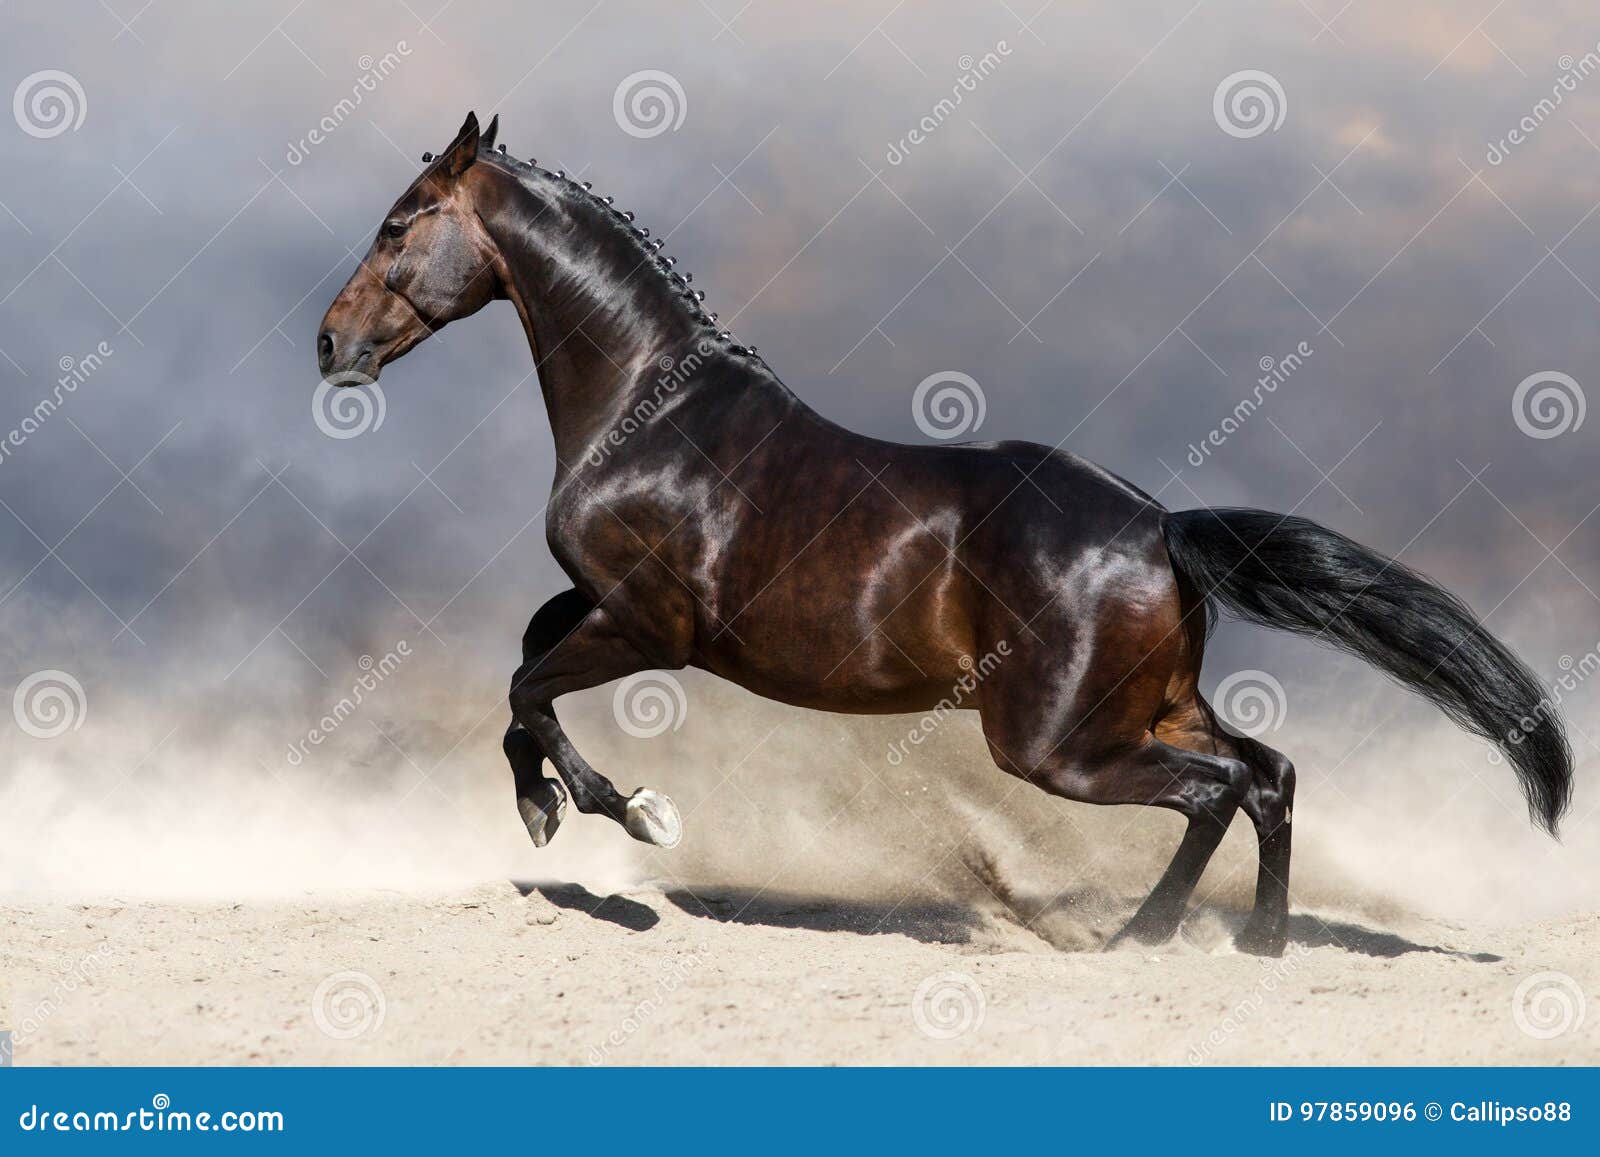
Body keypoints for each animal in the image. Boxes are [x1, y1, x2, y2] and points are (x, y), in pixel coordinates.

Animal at [316, 112, 1572, 956]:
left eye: (398, 223)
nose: (330, 345)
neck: (649, 410)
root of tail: (1159, 527)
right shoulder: (606, 605)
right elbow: (525, 658)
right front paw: (542, 807)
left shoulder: (648, 627)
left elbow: (529, 683)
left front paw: (626, 810)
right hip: (1145, 707)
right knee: (1268, 774)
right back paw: (1248, 946)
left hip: (1054, 743)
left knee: (1219, 789)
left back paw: (1139, 941)